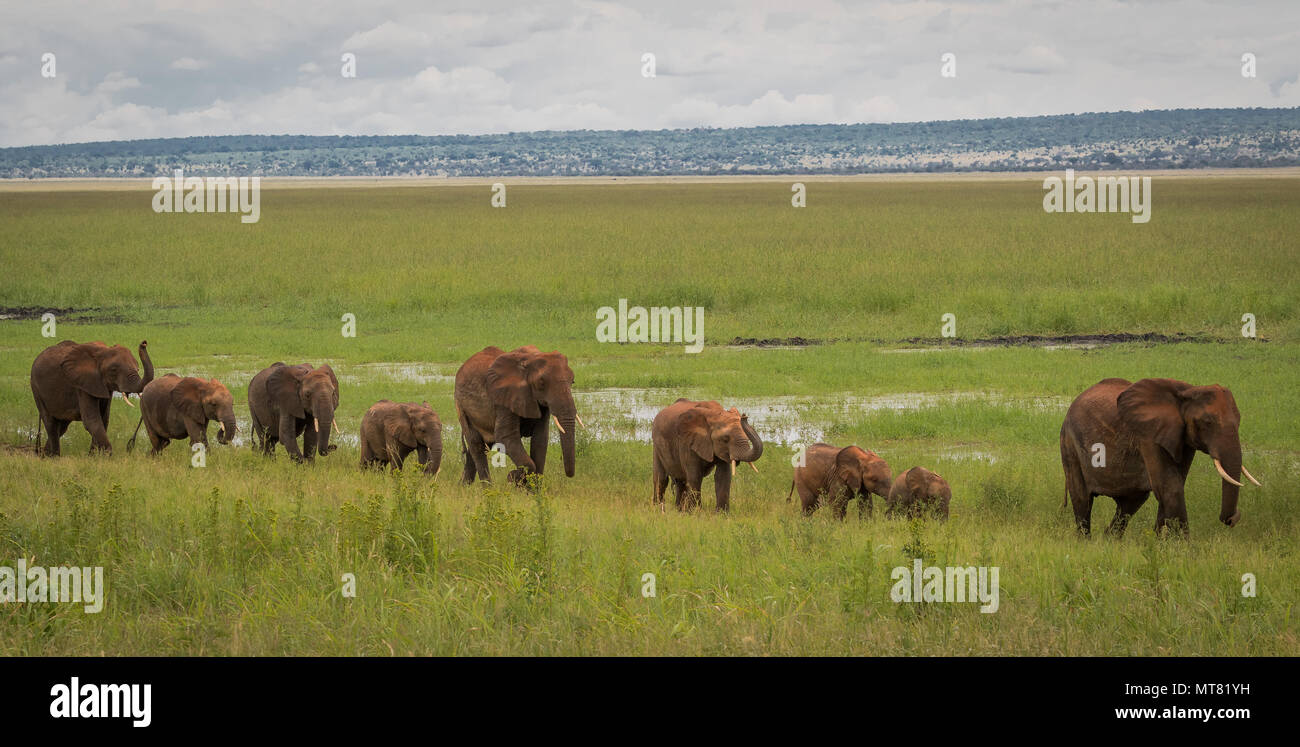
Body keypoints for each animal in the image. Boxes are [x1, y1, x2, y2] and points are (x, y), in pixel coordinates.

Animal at [454, 345, 578, 486]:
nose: (569, 475)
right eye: (541, 383)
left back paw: (463, 487)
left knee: (480, 446)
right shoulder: (504, 398)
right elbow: (505, 436)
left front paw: (532, 489)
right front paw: (513, 477)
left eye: (572, 381)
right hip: (461, 406)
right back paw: (487, 490)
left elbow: (540, 439)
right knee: (477, 445)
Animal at [1060, 377, 1261, 537]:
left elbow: (1173, 485)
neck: (1188, 390)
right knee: (1082, 499)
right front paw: (1183, 550)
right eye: (1207, 422)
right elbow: (1171, 487)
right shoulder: (1148, 436)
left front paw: (1160, 543)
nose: (1232, 519)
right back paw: (1086, 542)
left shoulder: (1184, 438)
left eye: (1239, 421)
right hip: (1069, 442)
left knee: (1130, 502)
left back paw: (1110, 540)